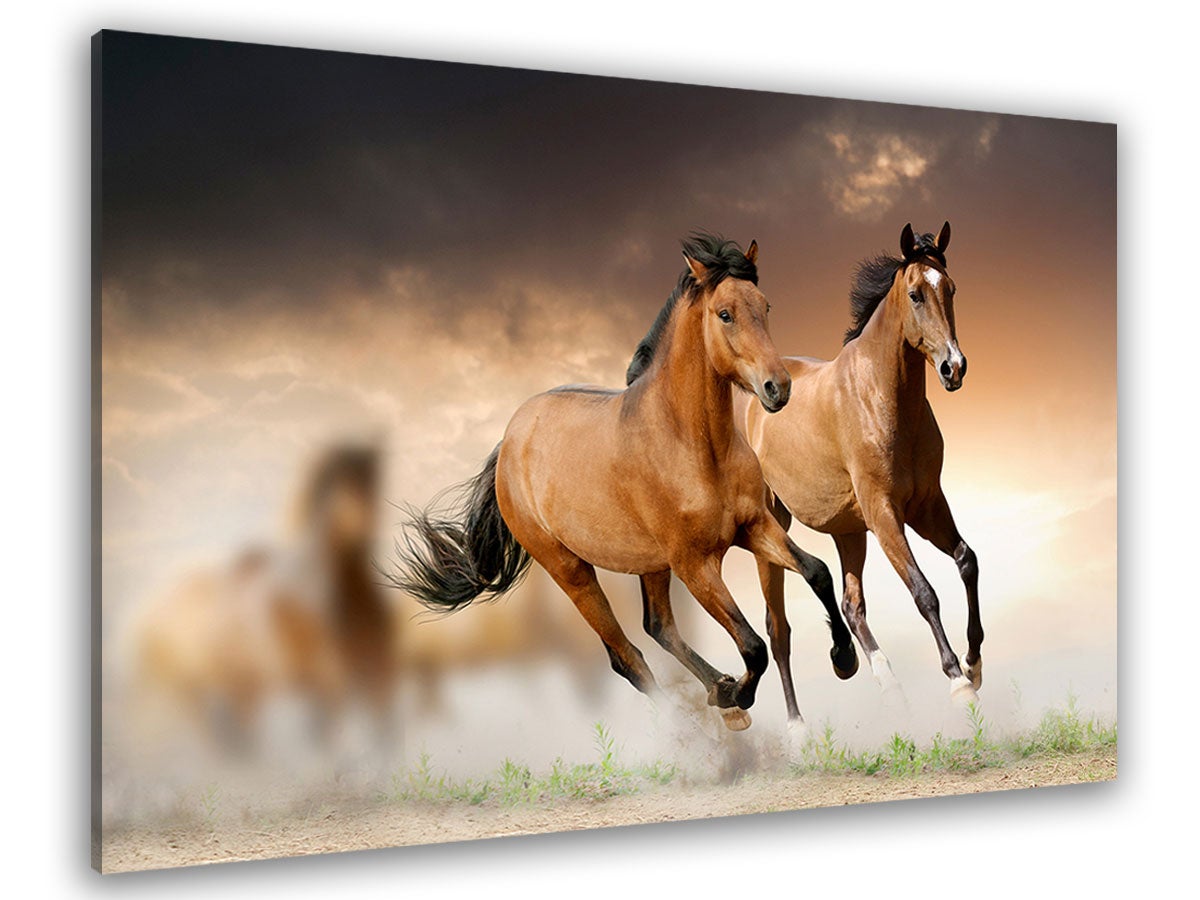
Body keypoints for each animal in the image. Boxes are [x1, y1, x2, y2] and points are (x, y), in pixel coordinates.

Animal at [390, 234, 857, 731]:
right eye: (724, 313)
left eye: (765, 306)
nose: (777, 388)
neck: (692, 444)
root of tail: (510, 442)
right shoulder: (695, 564)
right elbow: (753, 645)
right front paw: (739, 694)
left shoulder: (753, 527)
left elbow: (818, 572)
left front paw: (843, 659)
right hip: (571, 570)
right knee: (626, 656)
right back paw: (702, 721)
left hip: (649, 563)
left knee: (658, 627)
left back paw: (719, 694)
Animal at [739, 222, 982, 711]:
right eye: (915, 294)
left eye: (950, 289)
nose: (954, 367)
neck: (881, 398)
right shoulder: (884, 512)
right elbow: (924, 592)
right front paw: (957, 680)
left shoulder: (927, 506)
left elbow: (967, 561)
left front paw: (975, 662)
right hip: (773, 527)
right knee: (778, 631)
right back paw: (798, 725)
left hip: (848, 531)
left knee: (852, 606)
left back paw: (881, 678)